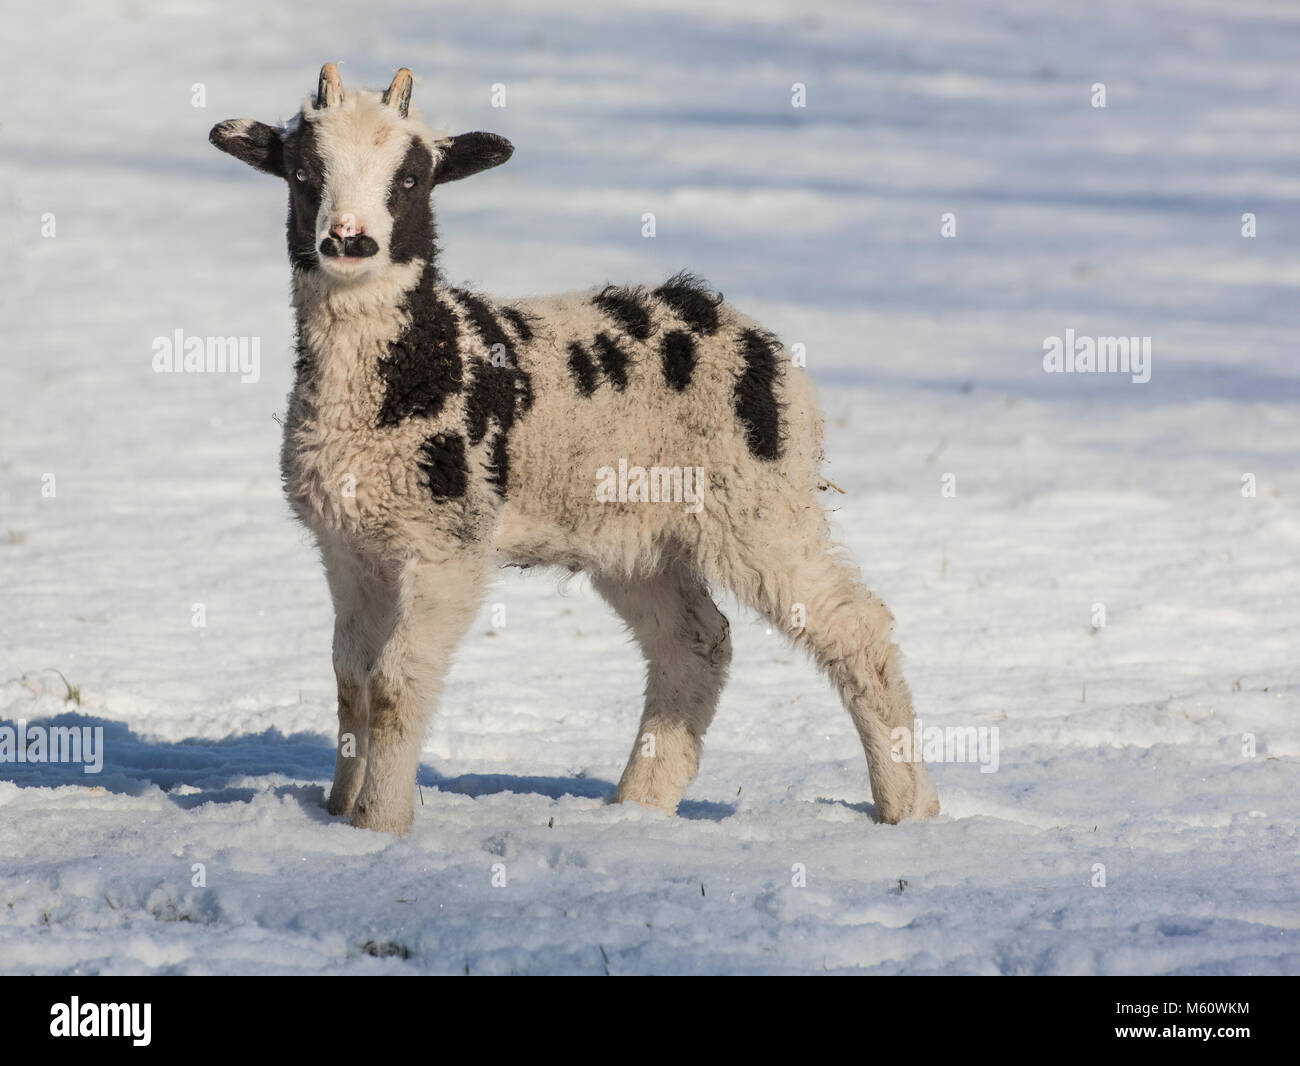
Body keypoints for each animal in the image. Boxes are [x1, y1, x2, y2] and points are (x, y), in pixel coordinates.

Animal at [209, 63, 940, 834]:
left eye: (411, 179)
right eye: (302, 173)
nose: (350, 242)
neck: (416, 361)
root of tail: (755, 337)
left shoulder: (447, 547)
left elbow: (395, 685)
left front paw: (380, 824)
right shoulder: (348, 547)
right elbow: (350, 676)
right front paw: (335, 813)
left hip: (759, 502)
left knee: (856, 628)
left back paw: (908, 807)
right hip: (637, 535)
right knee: (696, 644)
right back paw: (637, 808)